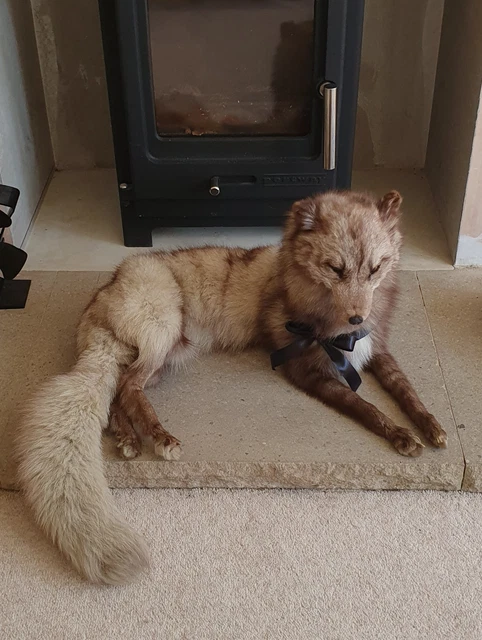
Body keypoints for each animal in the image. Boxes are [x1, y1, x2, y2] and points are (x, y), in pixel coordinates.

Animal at [16, 189, 447, 585]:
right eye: (335, 268)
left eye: (376, 269)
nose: (358, 318)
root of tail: (104, 292)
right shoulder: (304, 370)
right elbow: (366, 408)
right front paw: (400, 435)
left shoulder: (376, 352)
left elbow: (406, 391)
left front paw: (430, 426)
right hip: (163, 335)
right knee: (128, 387)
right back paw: (159, 437)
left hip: (167, 356)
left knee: (120, 391)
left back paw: (127, 439)